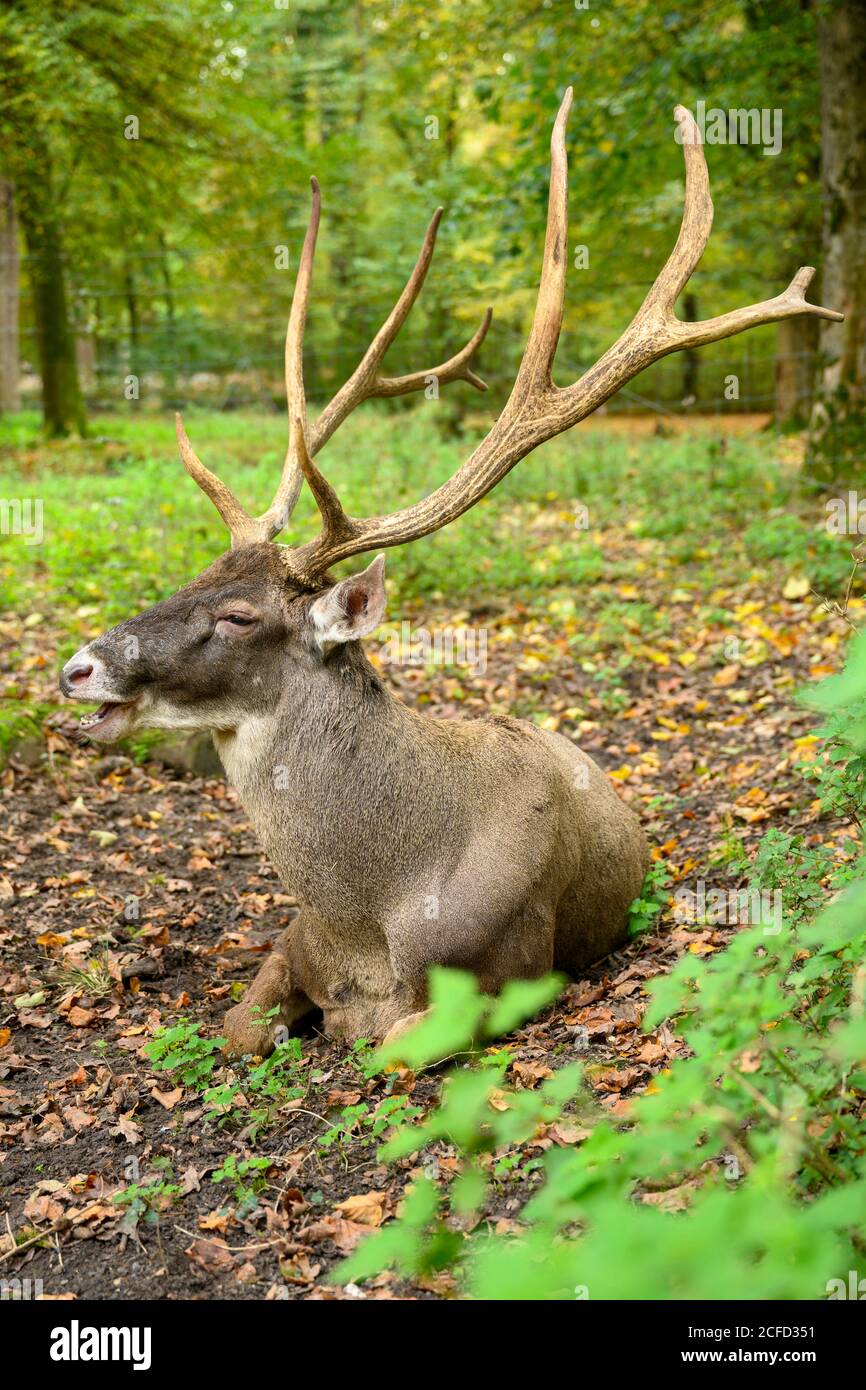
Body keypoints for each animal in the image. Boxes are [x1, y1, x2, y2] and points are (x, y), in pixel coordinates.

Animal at [59, 92, 841, 1056]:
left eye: (241, 616)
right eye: (196, 573)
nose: (78, 667)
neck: (369, 922)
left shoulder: (512, 967)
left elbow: (390, 1051)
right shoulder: (289, 940)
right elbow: (239, 1029)